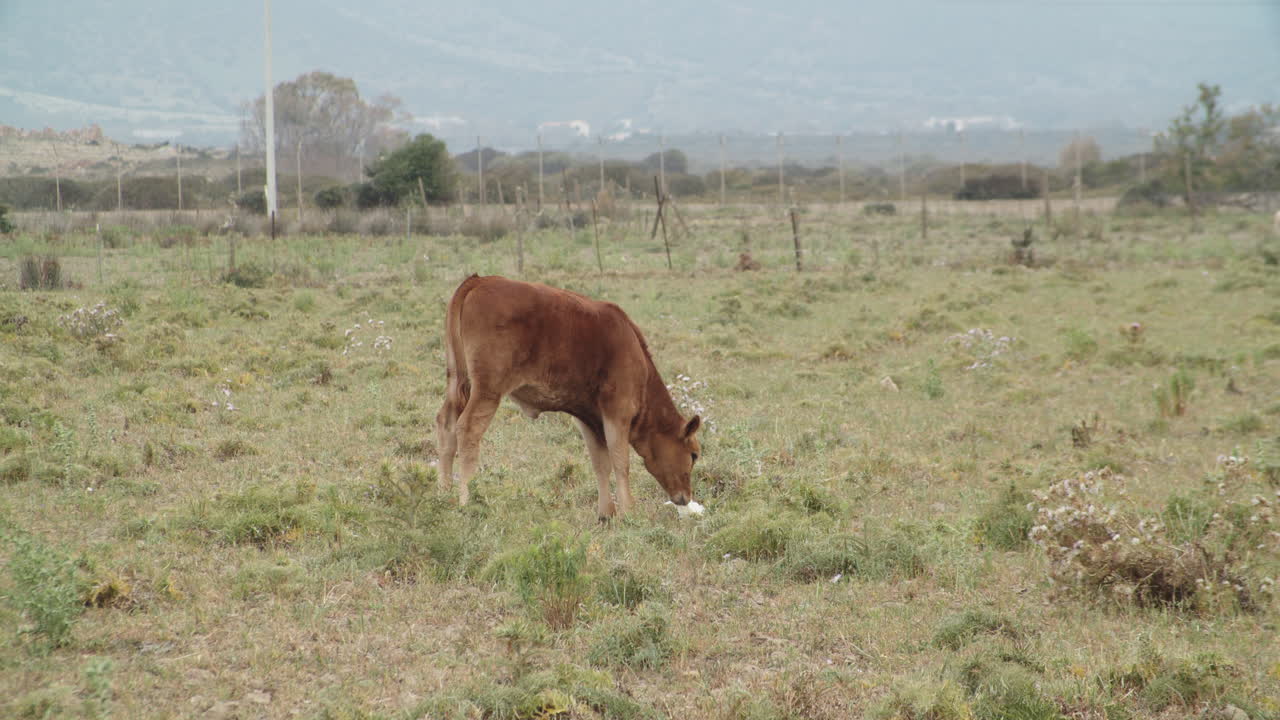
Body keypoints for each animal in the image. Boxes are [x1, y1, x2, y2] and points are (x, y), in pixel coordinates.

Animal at [435, 275, 702, 520]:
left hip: (457, 381)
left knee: (446, 424)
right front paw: (629, 511)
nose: (685, 497)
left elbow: (601, 464)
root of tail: (479, 281)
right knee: (468, 429)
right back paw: (466, 500)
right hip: (487, 390)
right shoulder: (618, 412)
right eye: (694, 454)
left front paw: (606, 514)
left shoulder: (589, 418)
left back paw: (444, 493)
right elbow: (620, 462)